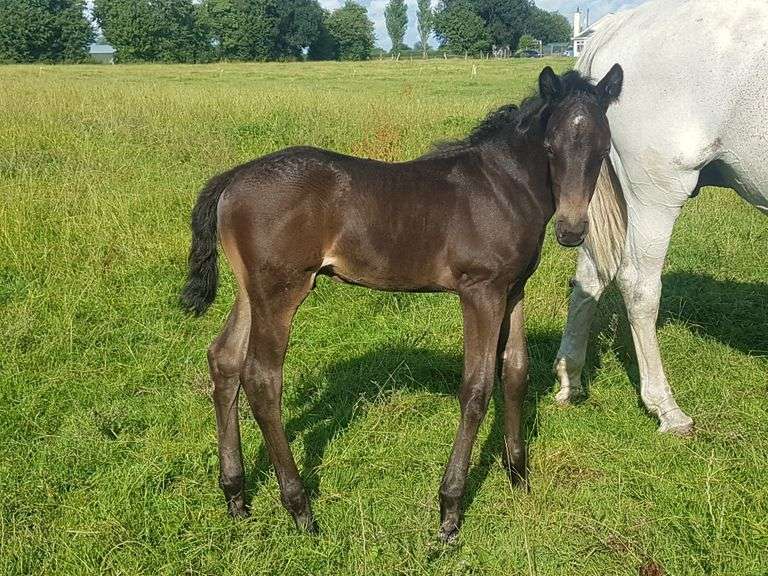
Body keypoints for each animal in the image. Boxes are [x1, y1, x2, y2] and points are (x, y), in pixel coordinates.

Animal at [181, 64, 624, 541]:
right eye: (550, 147)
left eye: (603, 149)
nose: (571, 231)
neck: (502, 187)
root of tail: (233, 178)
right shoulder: (481, 291)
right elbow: (476, 388)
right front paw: (449, 512)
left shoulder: (513, 289)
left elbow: (516, 372)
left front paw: (519, 479)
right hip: (282, 291)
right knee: (262, 378)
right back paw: (300, 509)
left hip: (252, 292)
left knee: (224, 359)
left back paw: (236, 496)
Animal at [554, 0, 768, 435]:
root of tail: (619, 24)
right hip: (655, 193)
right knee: (638, 287)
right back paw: (665, 408)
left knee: (589, 277)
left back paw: (571, 380)